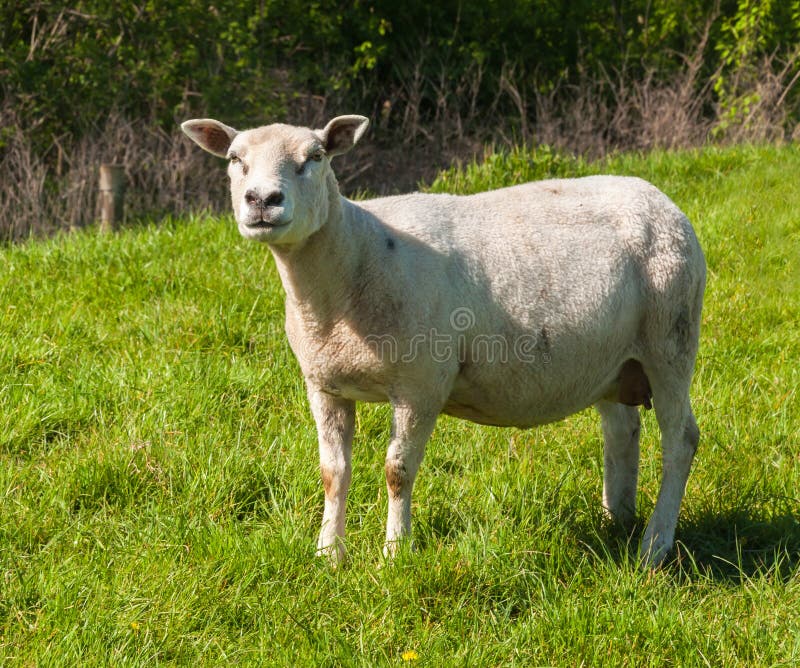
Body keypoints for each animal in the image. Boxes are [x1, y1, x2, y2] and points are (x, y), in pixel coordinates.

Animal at [181, 114, 706, 567]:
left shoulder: (421, 383)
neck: (354, 261)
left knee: (681, 440)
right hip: (612, 360)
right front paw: (328, 554)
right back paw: (616, 519)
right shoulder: (324, 384)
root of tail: (662, 198)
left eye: (315, 157)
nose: (262, 200)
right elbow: (333, 473)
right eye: (234, 158)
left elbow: (397, 471)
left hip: (671, 339)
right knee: (622, 431)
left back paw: (654, 545)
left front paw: (395, 554)